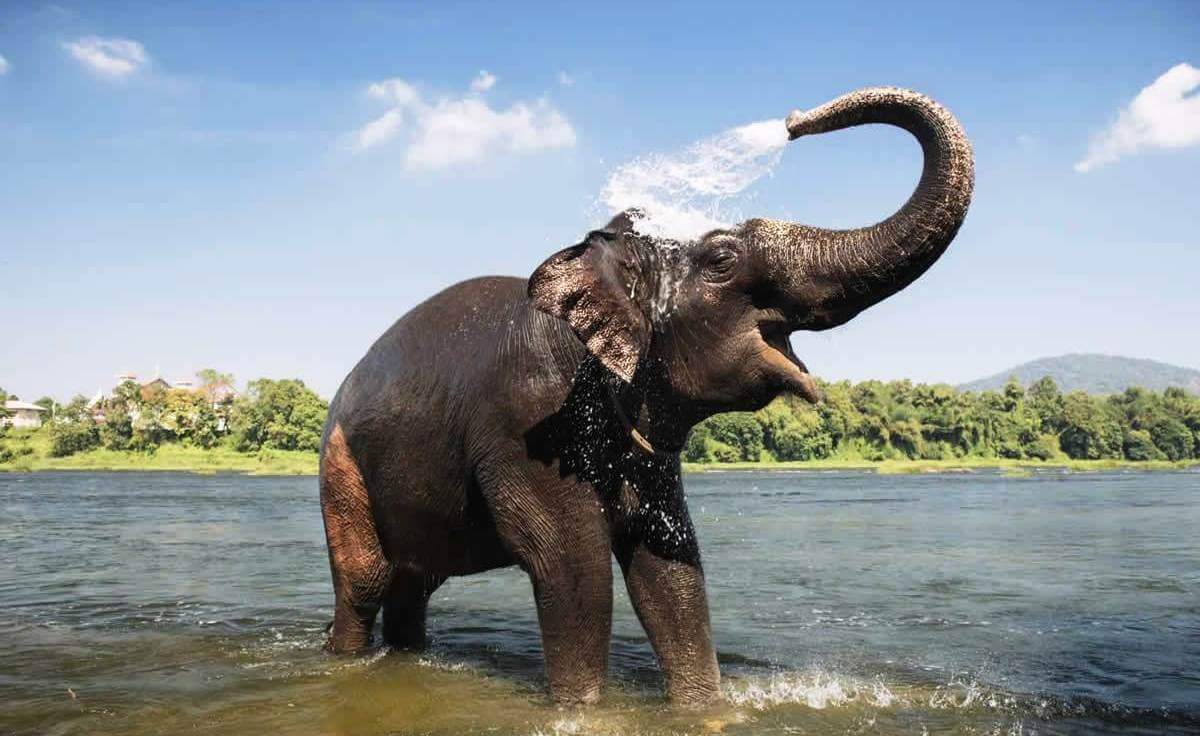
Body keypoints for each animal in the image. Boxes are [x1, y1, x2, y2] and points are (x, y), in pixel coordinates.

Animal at [319, 86, 973, 704]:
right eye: (722, 258)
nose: (792, 121)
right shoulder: (528, 423)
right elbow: (573, 566)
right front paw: (583, 710)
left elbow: (669, 567)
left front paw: (703, 707)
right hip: (340, 466)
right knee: (366, 583)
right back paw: (344, 658)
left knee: (414, 584)